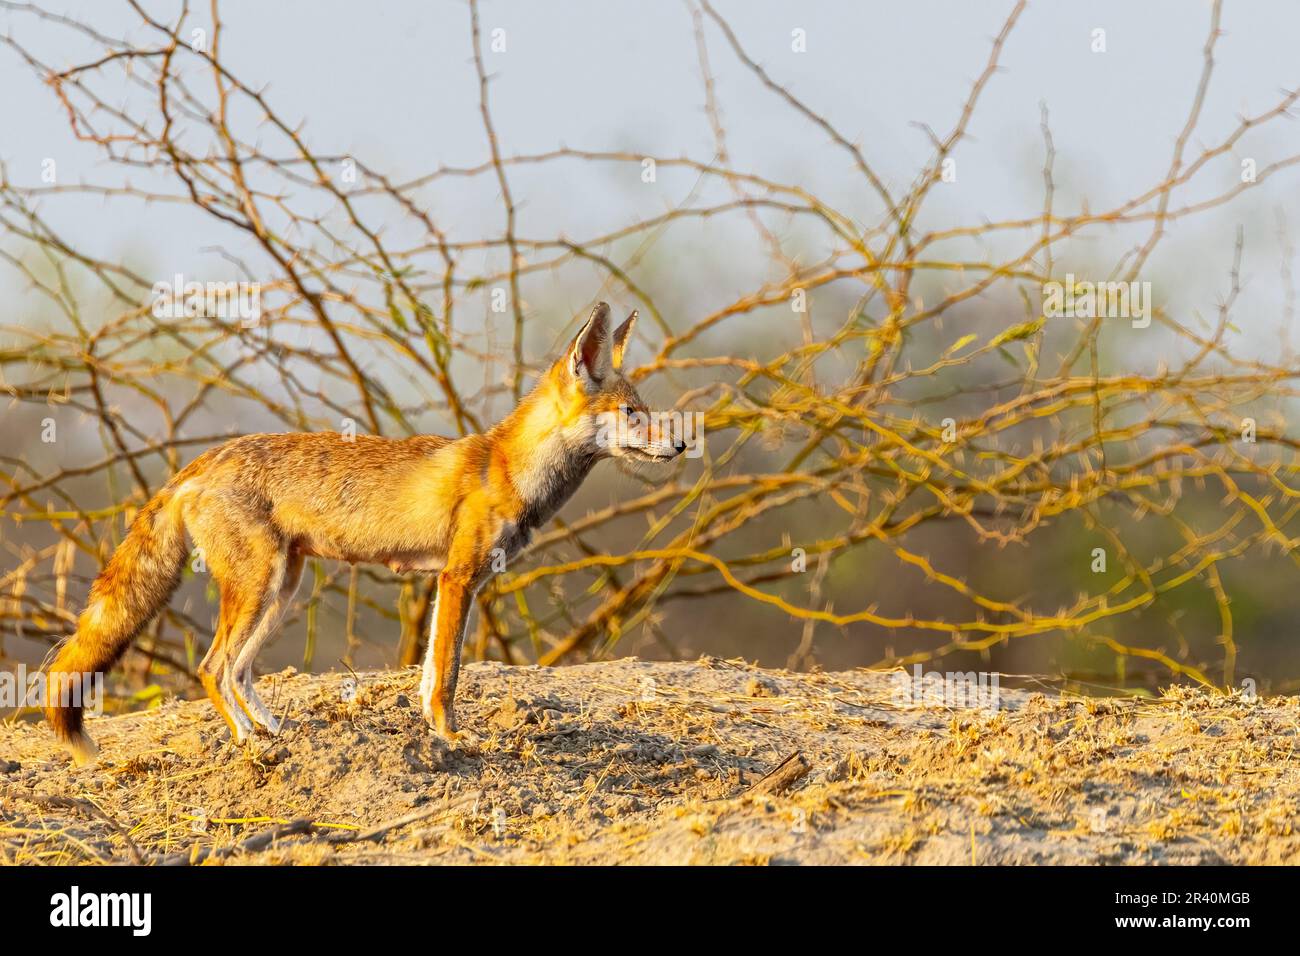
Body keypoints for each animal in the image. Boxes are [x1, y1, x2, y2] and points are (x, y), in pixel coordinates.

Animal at [44, 302, 686, 765]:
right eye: (631, 413)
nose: (680, 444)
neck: (507, 469)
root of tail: (201, 462)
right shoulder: (458, 578)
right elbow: (446, 678)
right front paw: (453, 740)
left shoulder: (453, 583)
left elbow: (430, 674)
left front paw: (436, 734)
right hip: (259, 587)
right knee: (211, 667)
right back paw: (250, 745)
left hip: (283, 590)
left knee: (237, 670)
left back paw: (274, 733)